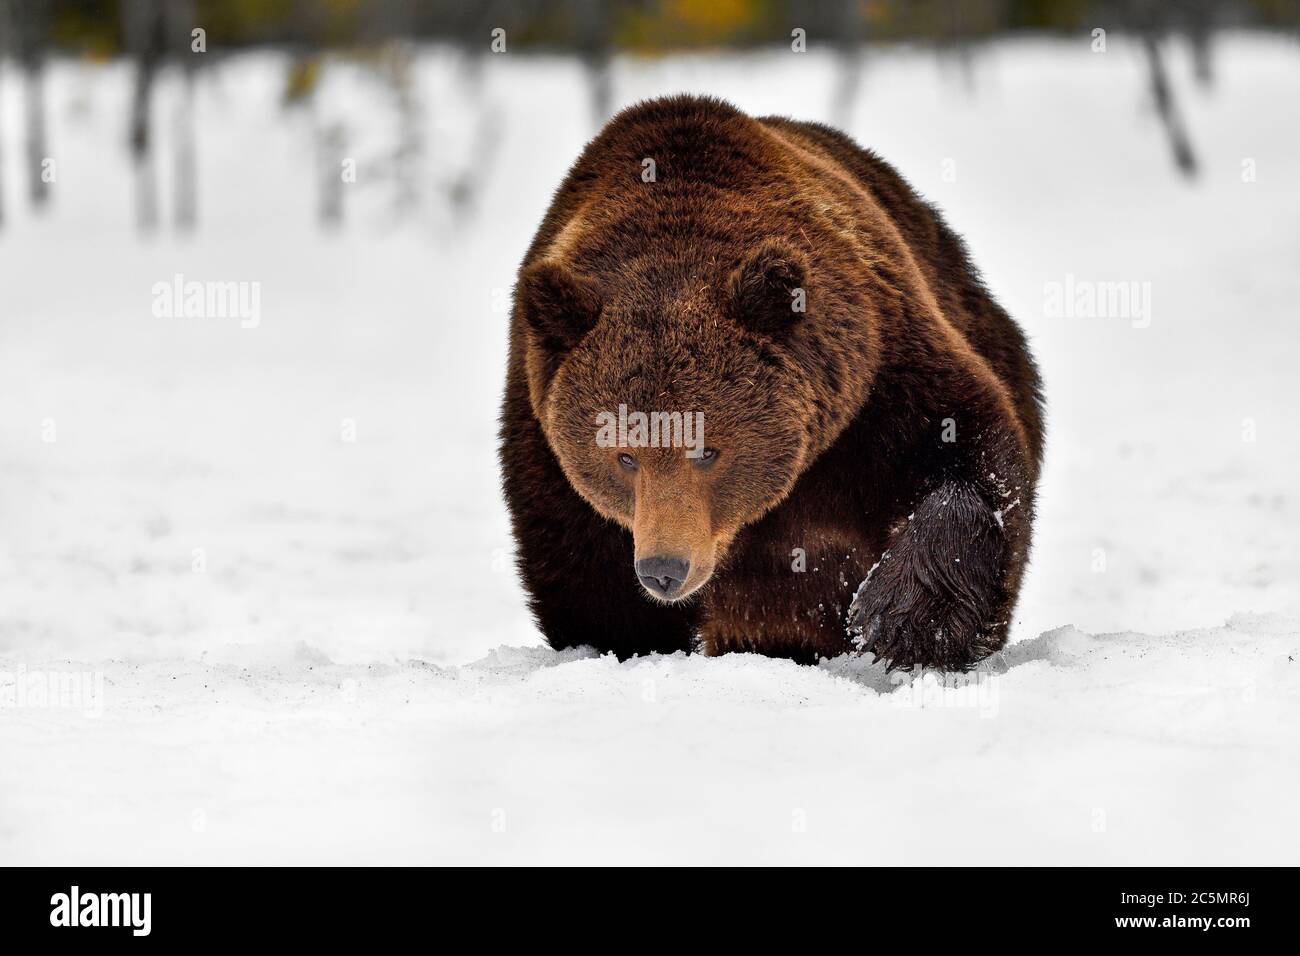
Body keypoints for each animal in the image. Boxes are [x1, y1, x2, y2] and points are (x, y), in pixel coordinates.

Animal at [499, 95, 1044, 671]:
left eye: (707, 449)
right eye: (624, 455)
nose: (665, 568)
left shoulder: (873, 380)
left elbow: (967, 451)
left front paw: (901, 618)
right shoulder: (542, 432)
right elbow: (584, 571)